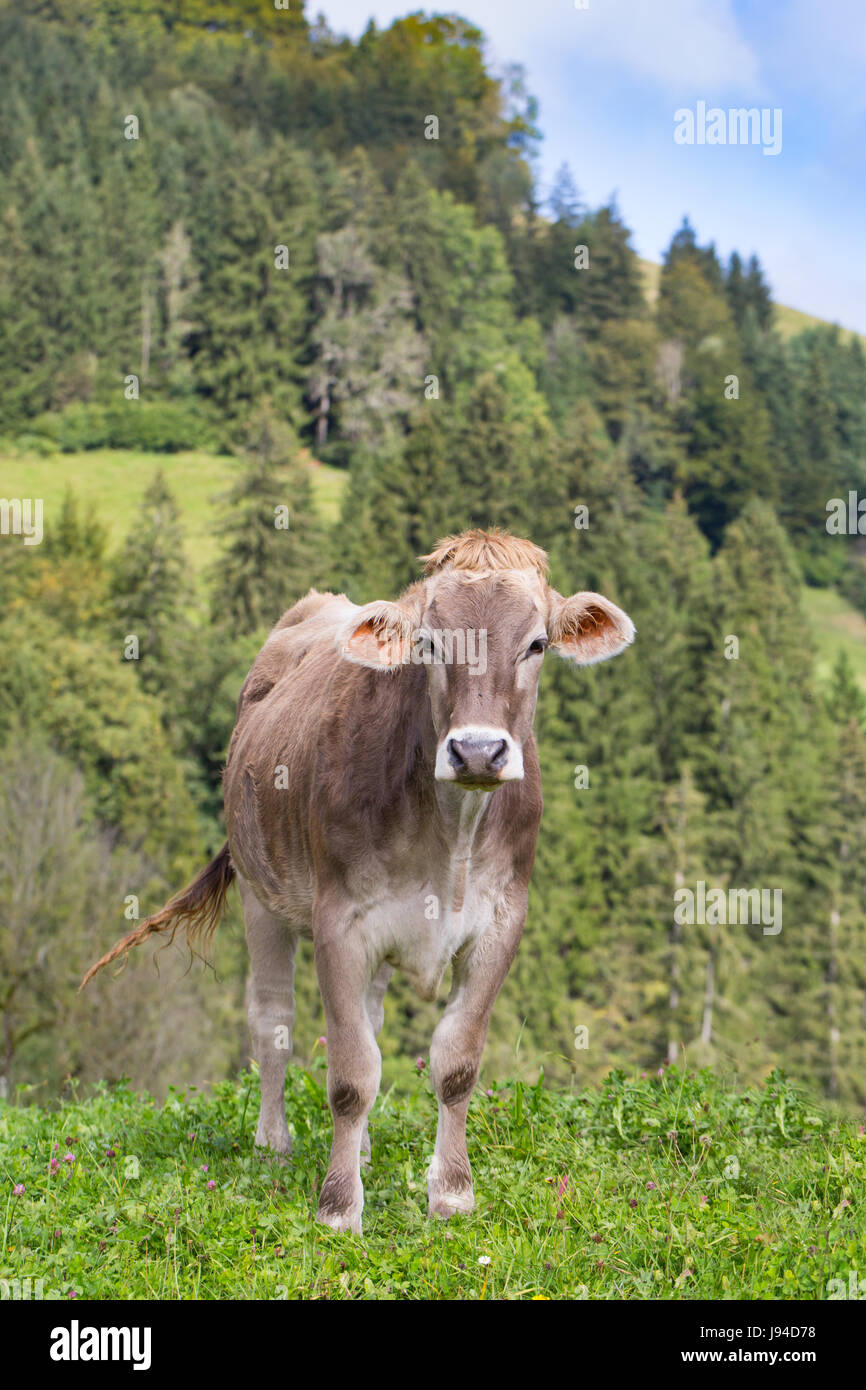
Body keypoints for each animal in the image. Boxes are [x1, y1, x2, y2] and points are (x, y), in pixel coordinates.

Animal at [82, 528, 634, 1233]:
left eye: (536, 644)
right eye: (429, 643)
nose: (478, 752)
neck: (450, 833)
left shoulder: (502, 922)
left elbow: (456, 1062)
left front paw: (452, 1193)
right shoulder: (338, 921)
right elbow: (349, 1074)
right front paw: (339, 1205)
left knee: (369, 1020)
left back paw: (366, 1148)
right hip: (262, 893)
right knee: (274, 1019)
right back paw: (273, 1142)